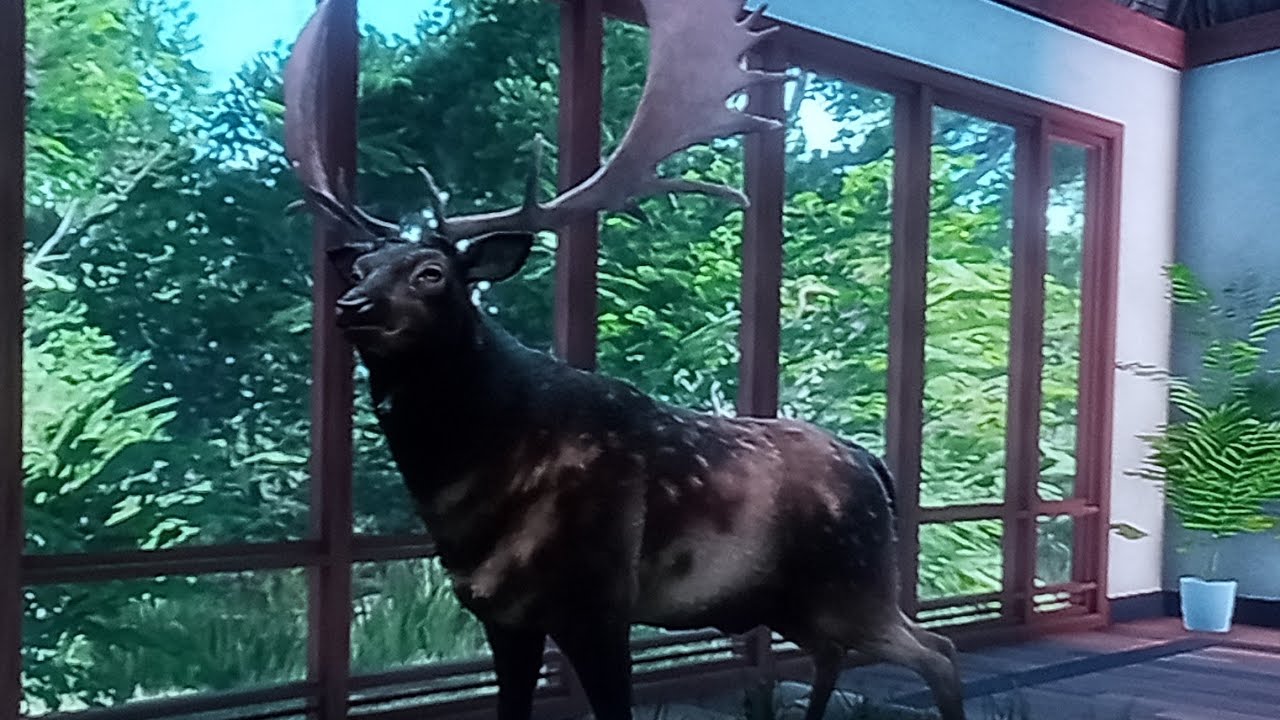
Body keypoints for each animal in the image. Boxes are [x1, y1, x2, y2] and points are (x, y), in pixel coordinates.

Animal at [282, 1, 965, 719]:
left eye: (431, 273)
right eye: (362, 266)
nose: (351, 305)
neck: (470, 481)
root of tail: (877, 470)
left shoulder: (600, 598)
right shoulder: (501, 612)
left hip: (854, 579)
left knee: (938, 651)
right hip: (798, 599)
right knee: (836, 653)